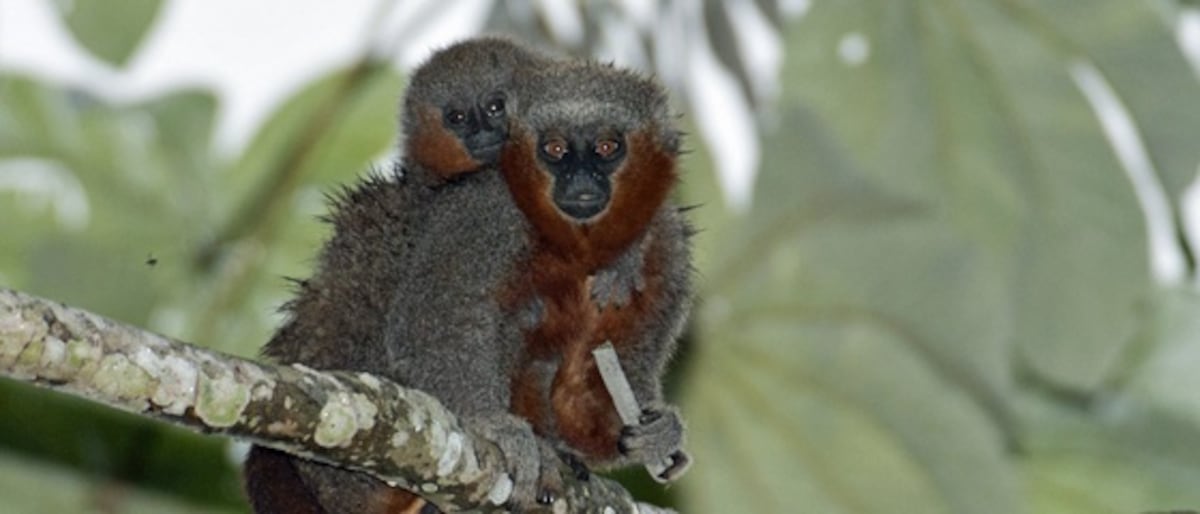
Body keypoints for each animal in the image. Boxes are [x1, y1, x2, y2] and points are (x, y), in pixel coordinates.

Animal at [242, 36, 564, 514]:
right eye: (458, 117)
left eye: (496, 106)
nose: (484, 134)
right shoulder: (489, 206)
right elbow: (430, 319)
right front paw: (495, 425)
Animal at [497, 61, 693, 481]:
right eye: (556, 149)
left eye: (606, 147)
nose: (582, 181)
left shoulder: (668, 251)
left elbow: (581, 394)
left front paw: (659, 436)